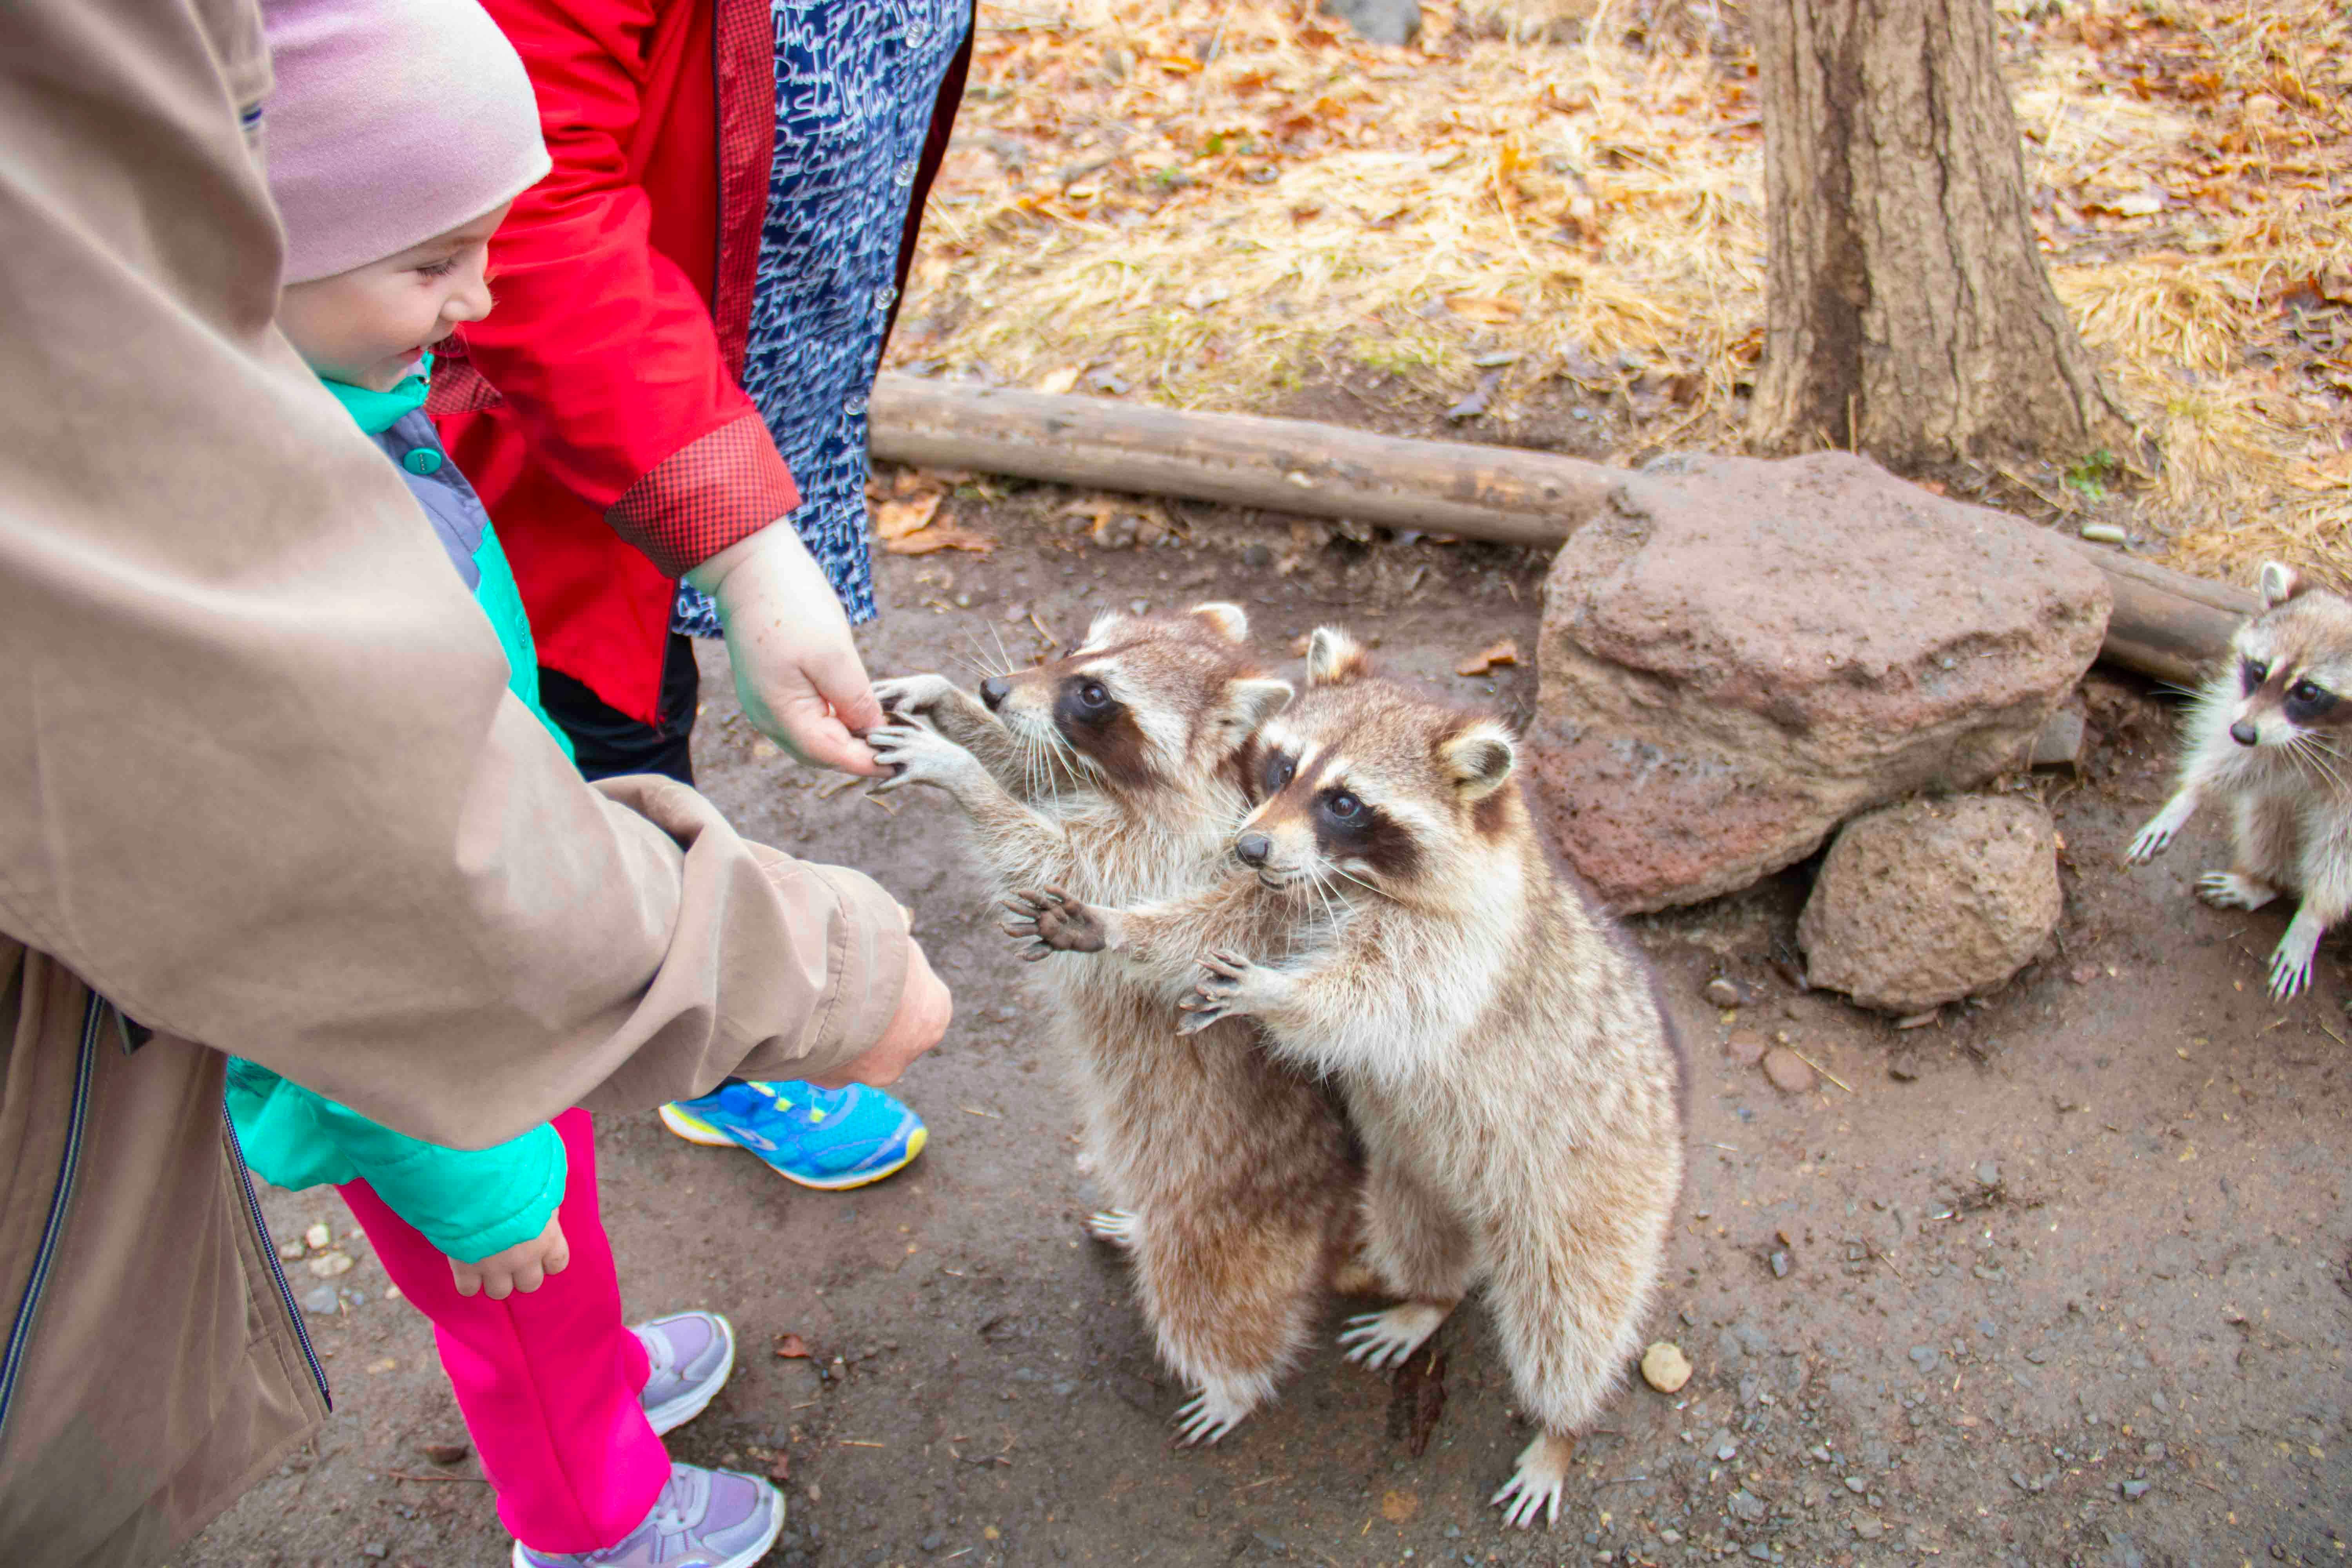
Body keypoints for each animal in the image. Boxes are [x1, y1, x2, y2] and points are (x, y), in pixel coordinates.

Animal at [867, 605, 1362, 1444]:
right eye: (1072, 649)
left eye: (1095, 694)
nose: (994, 689)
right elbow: (1038, 771)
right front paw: (952, 709)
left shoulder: (1167, 857)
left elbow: (1049, 857)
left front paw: (961, 772)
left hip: (1229, 1212)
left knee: (1209, 1295)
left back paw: (1235, 1383)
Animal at [1006, 628, 1685, 1529]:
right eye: (1284, 767)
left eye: (1346, 803)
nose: (1249, 846)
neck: (1361, 879)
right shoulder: (1291, 893)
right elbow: (1217, 919)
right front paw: (1119, 926)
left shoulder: (1464, 946)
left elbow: (1383, 999)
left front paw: (1280, 994)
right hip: (1411, 1173)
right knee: (1420, 1232)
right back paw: (1431, 1297)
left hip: (1598, 1189)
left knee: (1570, 1314)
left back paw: (1561, 1428)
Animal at [2126, 560, 2352, 999]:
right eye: (2258, 671)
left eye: (2309, 692)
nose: (2243, 733)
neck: (2323, 733)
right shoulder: (2267, 732)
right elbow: (2245, 762)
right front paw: (2188, 797)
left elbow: (2343, 854)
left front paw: (2313, 916)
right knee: (2269, 815)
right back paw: (2265, 880)